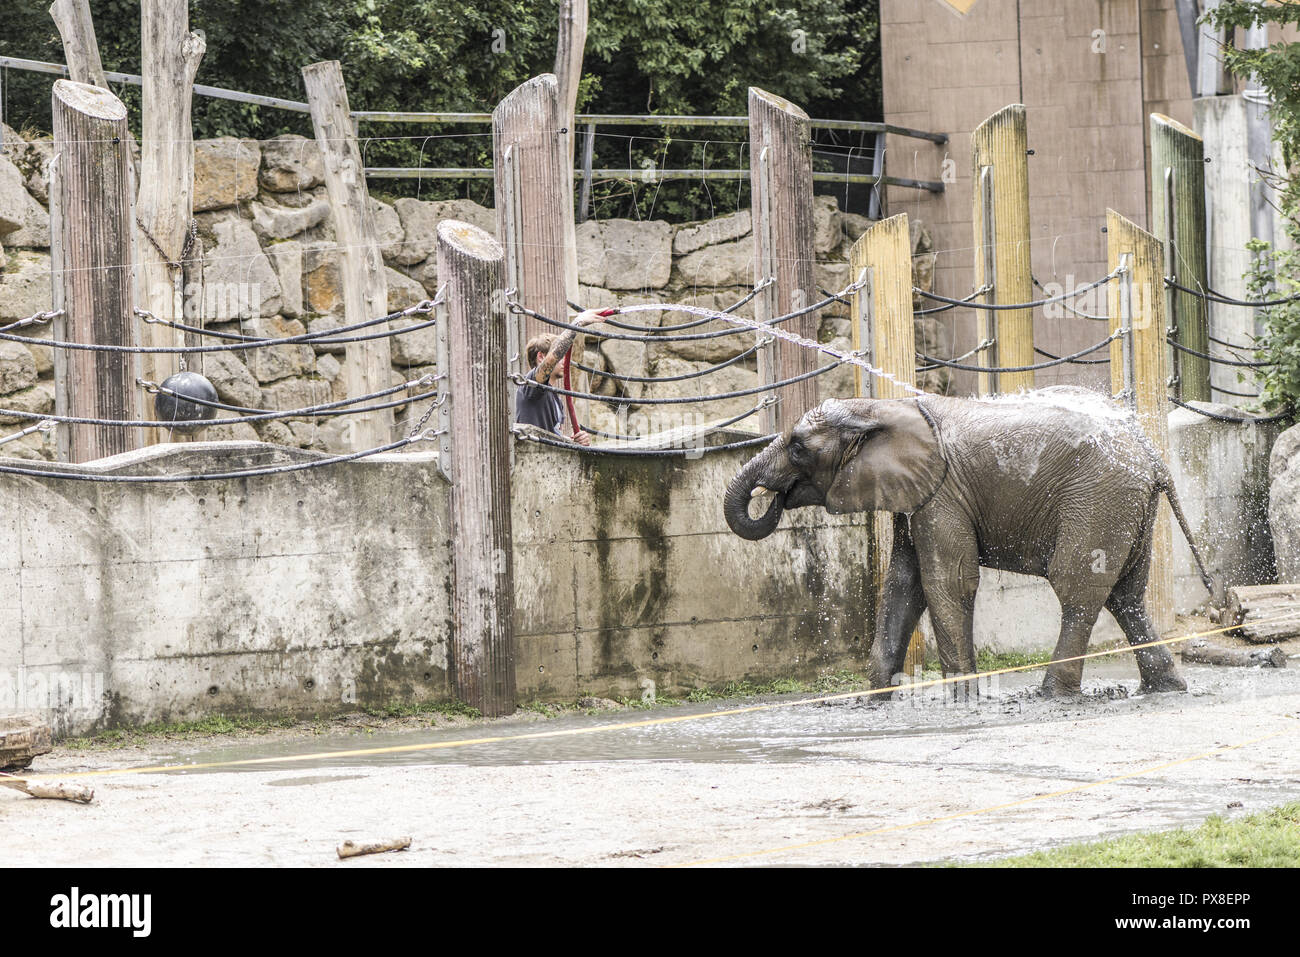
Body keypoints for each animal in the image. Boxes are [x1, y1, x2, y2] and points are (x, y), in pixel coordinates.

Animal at [723, 387, 1216, 696]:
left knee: (1077, 590)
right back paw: (1166, 688)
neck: (881, 404)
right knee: (1125, 594)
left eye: (798, 447)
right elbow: (904, 583)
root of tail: (1153, 456)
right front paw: (873, 702)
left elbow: (947, 581)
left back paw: (1053, 695)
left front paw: (961, 699)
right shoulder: (917, 494)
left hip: (1098, 500)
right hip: (1129, 508)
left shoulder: (942, 493)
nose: (773, 496)